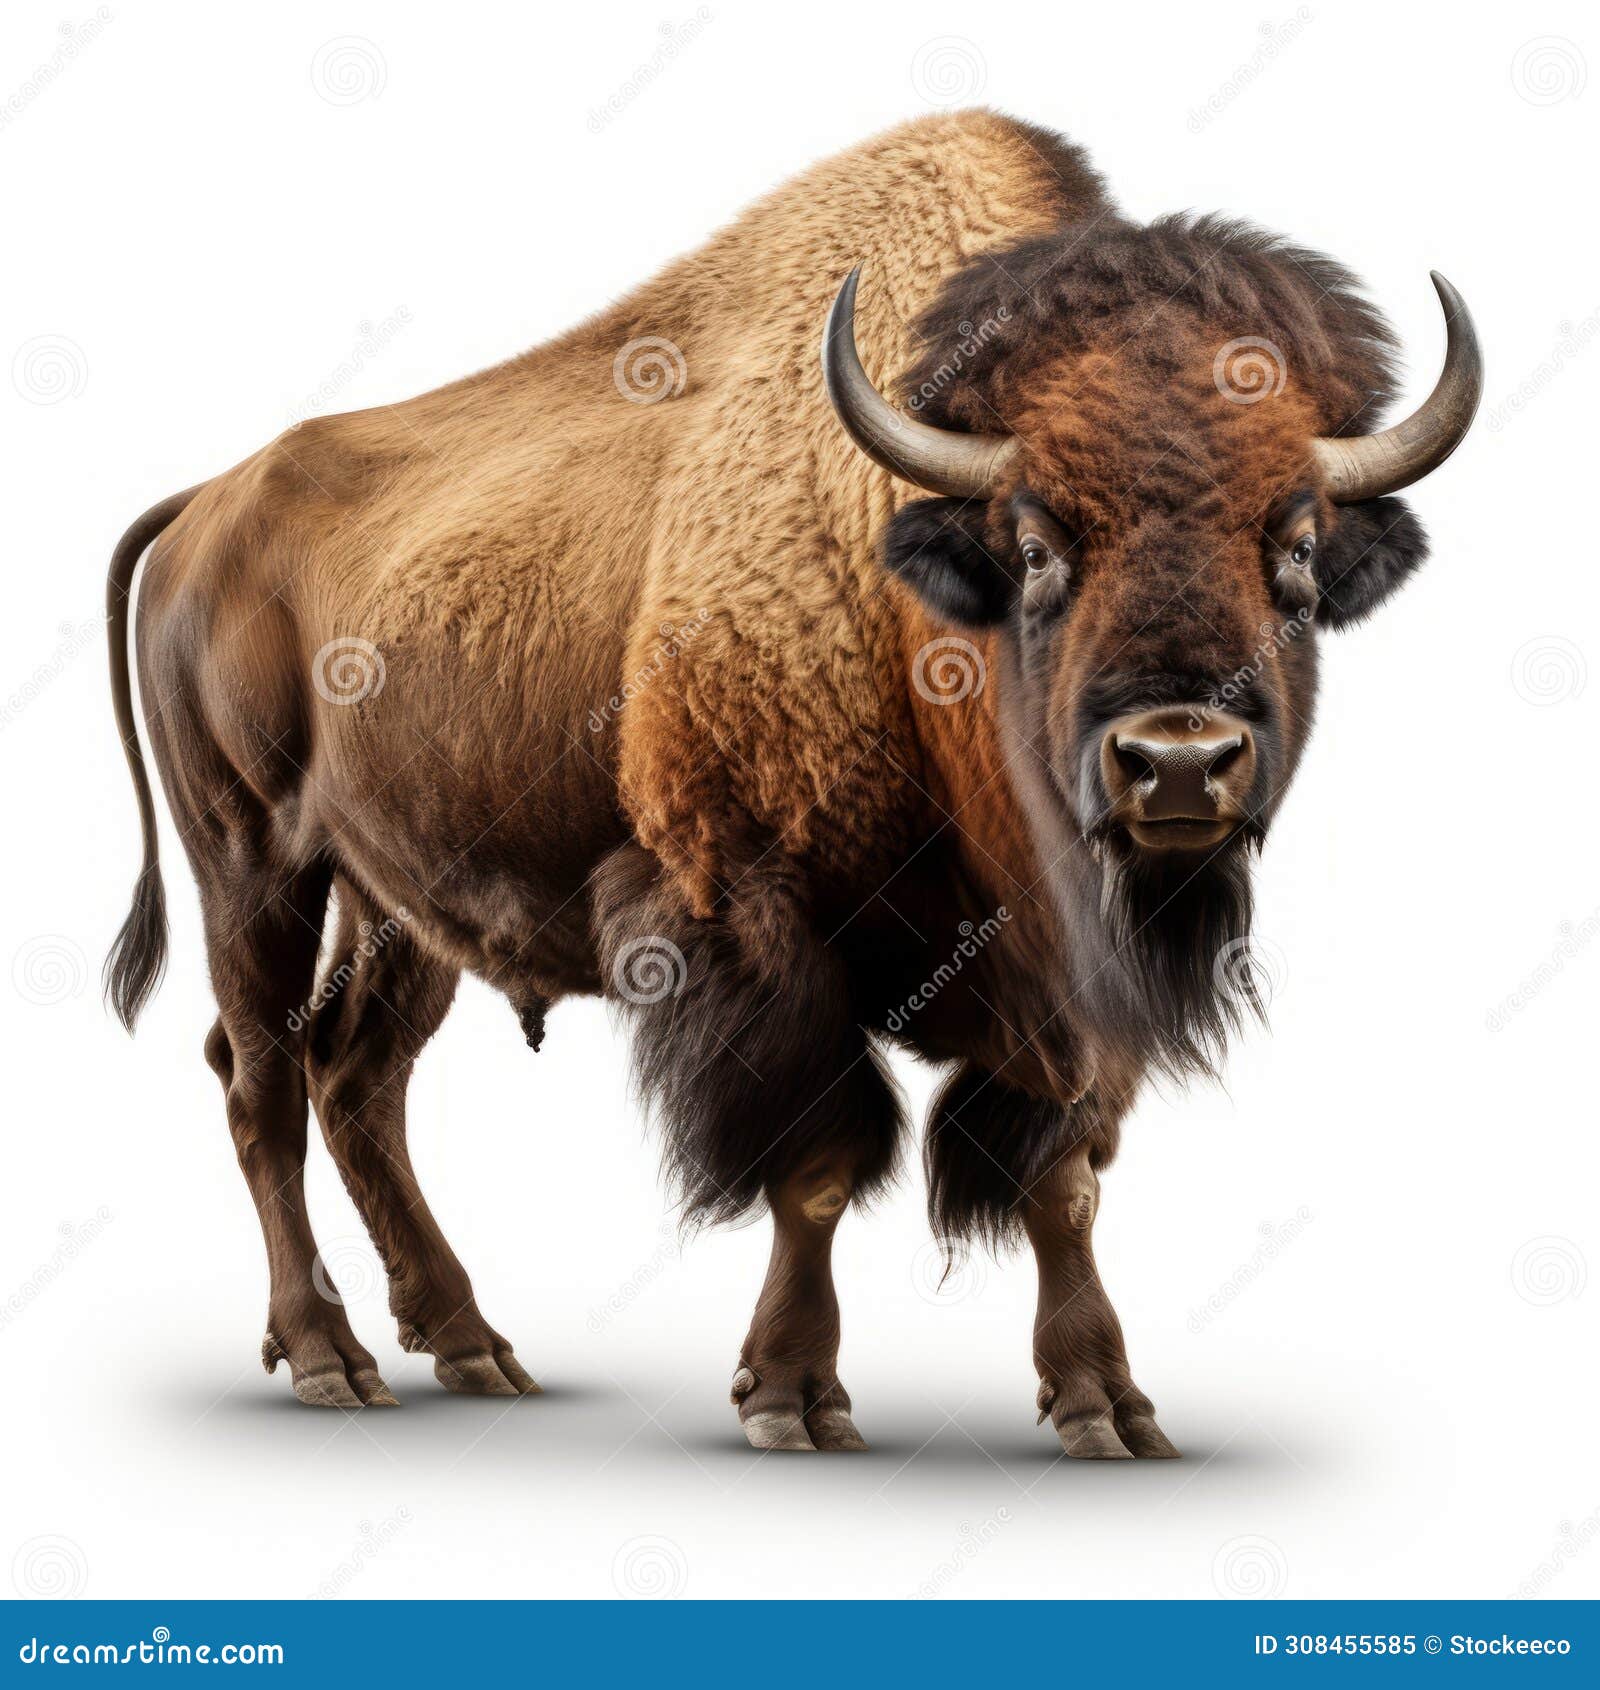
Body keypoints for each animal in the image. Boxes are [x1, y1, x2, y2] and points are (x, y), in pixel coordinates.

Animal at [105, 110, 1479, 1456]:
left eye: (1294, 547)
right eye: (1035, 543)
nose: (1178, 759)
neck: (903, 579)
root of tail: (206, 509)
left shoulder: (1065, 988)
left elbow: (1061, 1175)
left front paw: (1107, 1404)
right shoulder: (753, 916)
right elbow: (817, 1164)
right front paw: (790, 1396)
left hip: (393, 900)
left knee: (359, 1079)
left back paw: (471, 1347)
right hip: (250, 861)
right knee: (263, 1078)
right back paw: (328, 1360)